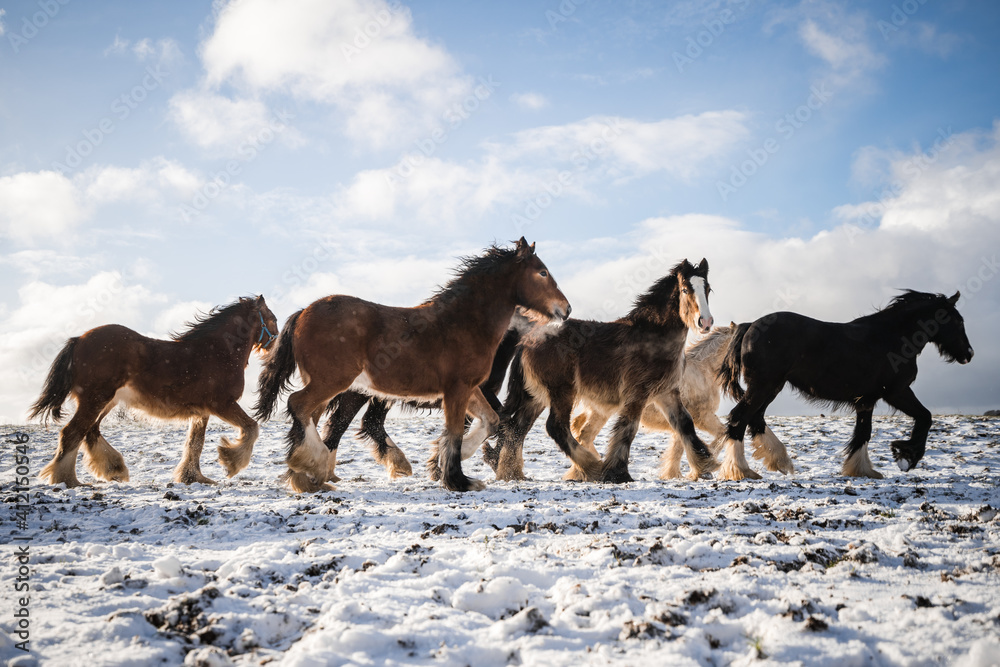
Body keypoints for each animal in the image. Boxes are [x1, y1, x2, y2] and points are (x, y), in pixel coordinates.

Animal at [29, 296, 279, 487]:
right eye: (273, 318)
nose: (274, 346)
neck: (218, 351)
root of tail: (78, 339)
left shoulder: (202, 412)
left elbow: (194, 444)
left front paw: (193, 477)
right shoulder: (223, 404)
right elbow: (251, 428)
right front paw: (230, 463)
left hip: (105, 401)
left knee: (90, 431)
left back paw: (114, 469)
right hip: (96, 399)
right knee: (72, 433)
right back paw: (68, 480)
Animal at [253, 238, 571, 493]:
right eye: (542, 272)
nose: (566, 309)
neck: (463, 323)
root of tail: (303, 312)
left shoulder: (470, 388)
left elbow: (490, 421)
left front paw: (445, 464)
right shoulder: (457, 389)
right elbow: (454, 431)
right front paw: (457, 479)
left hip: (327, 386)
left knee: (312, 417)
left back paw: (304, 475)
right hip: (331, 382)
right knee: (300, 406)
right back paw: (315, 466)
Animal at [490, 259, 719, 483]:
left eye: (708, 288)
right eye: (685, 289)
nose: (705, 322)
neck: (653, 337)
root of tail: (527, 340)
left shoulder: (667, 392)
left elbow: (685, 424)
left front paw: (705, 466)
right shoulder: (637, 393)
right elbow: (628, 428)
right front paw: (617, 473)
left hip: (536, 396)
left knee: (517, 428)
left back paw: (512, 474)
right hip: (561, 391)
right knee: (555, 427)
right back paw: (592, 468)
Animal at [565, 323, 792, 480]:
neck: (703, 371)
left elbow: (679, 445)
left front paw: (679, 473)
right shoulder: (703, 417)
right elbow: (720, 434)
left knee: (581, 431)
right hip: (602, 412)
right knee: (584, 434)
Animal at [716, 290, 974, 480]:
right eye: (957, 321)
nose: (968, 354)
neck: (891, 337)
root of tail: (750, 325)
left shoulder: (867, 399)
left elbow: (863, 433)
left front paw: (862, 469)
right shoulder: (896, 392)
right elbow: (925, 417)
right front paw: (905, 457)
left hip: (771, 387)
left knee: (755, 419)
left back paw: (780, 462)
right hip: (763, 386)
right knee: (739, 418)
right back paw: (742, 470)